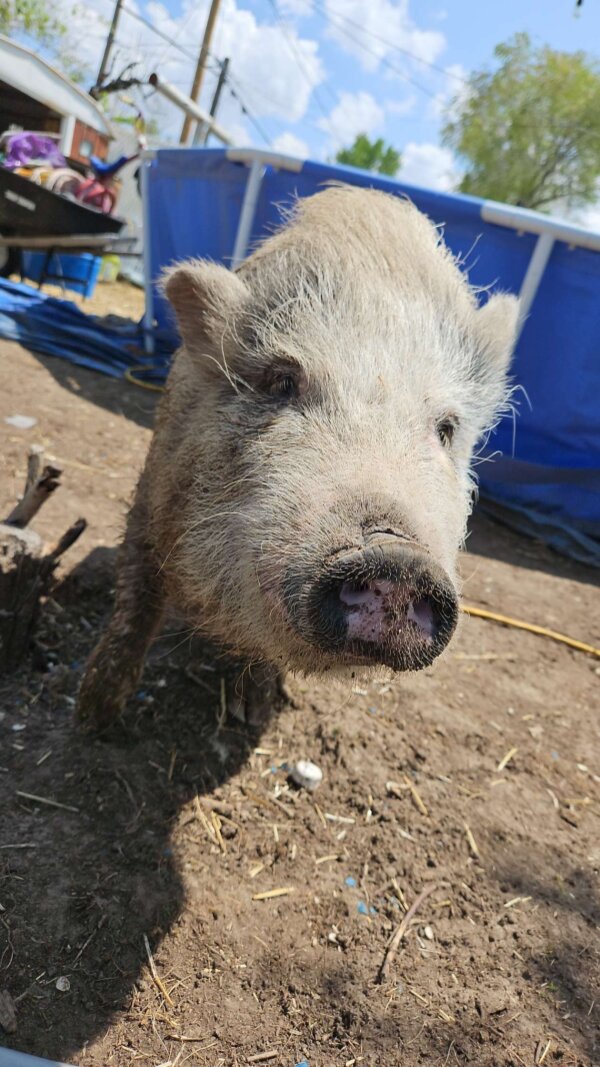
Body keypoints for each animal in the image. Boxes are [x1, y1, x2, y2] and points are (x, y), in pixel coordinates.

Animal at [77, 185, 518, 729]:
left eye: (446, 429)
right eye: (282, 381)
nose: (399, 559)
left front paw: (255, 713)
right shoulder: (153, 482)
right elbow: (137, 588)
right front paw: (93, 716)